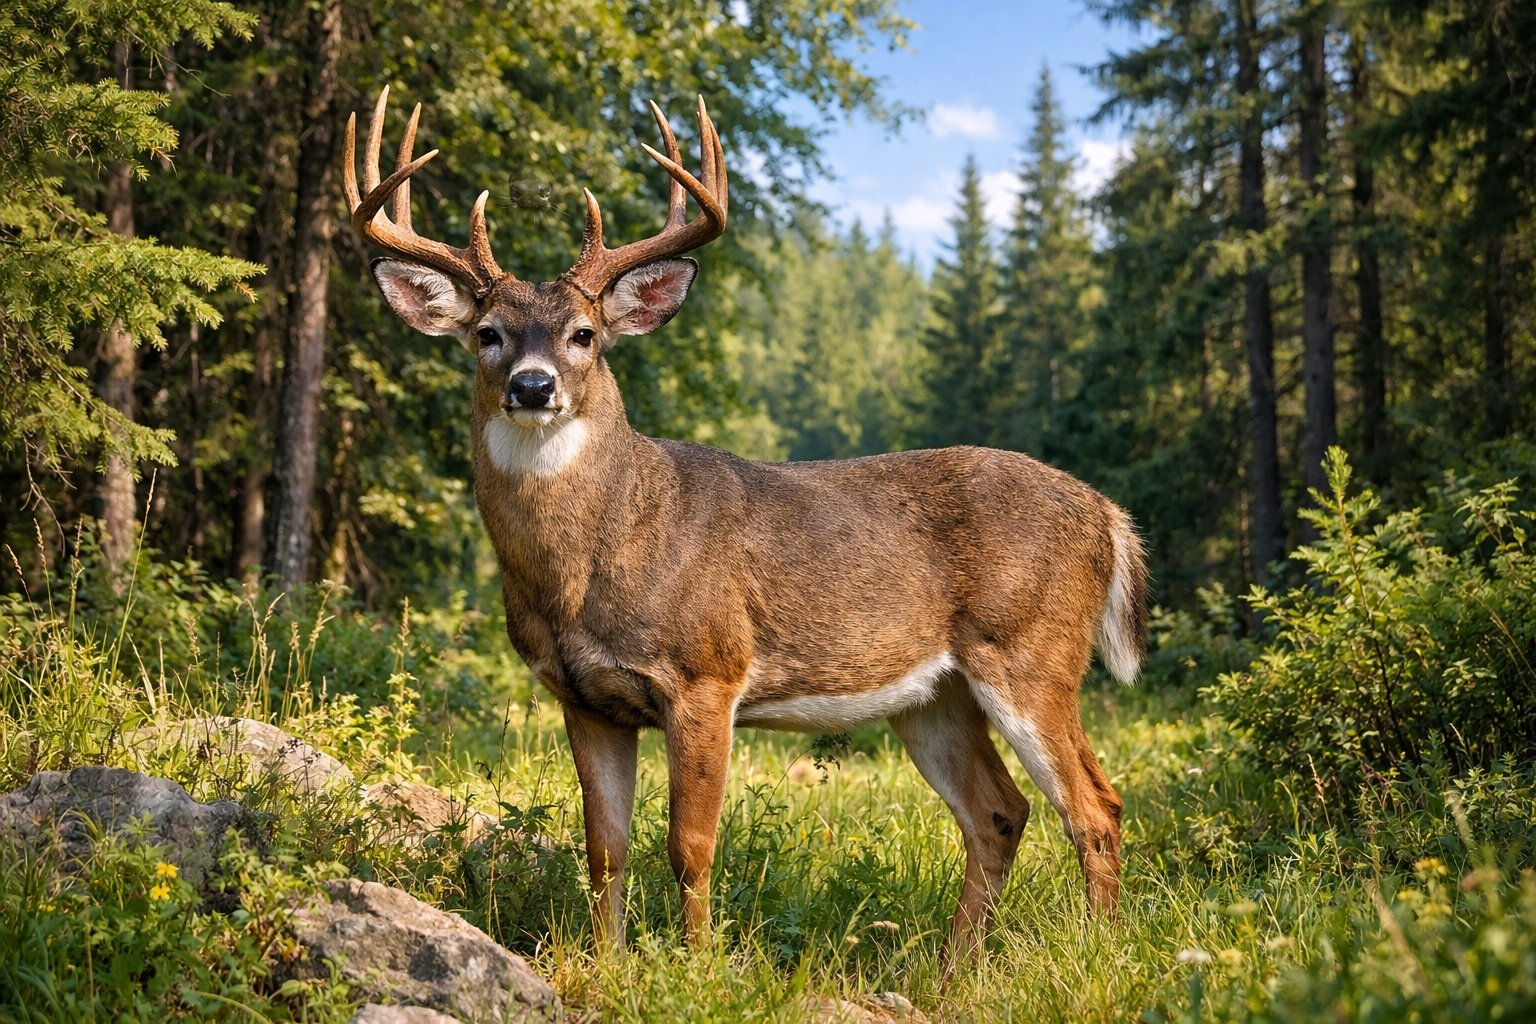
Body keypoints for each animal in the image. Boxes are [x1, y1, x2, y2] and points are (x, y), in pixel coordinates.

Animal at [342, 86, 1148, 959]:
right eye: (486, 335)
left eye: (584, 335)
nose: (532, 385)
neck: (592, 563)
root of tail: (1107, 514)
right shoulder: (583, 696)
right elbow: (605, 847)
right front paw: (608, 962)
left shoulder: (707, 673)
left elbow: (689, 844)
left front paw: (698, 963)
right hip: (934, 696)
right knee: (1001, 812)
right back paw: (951, 969)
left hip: (1032, 652)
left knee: (1096, 807)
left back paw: (1097, 950)